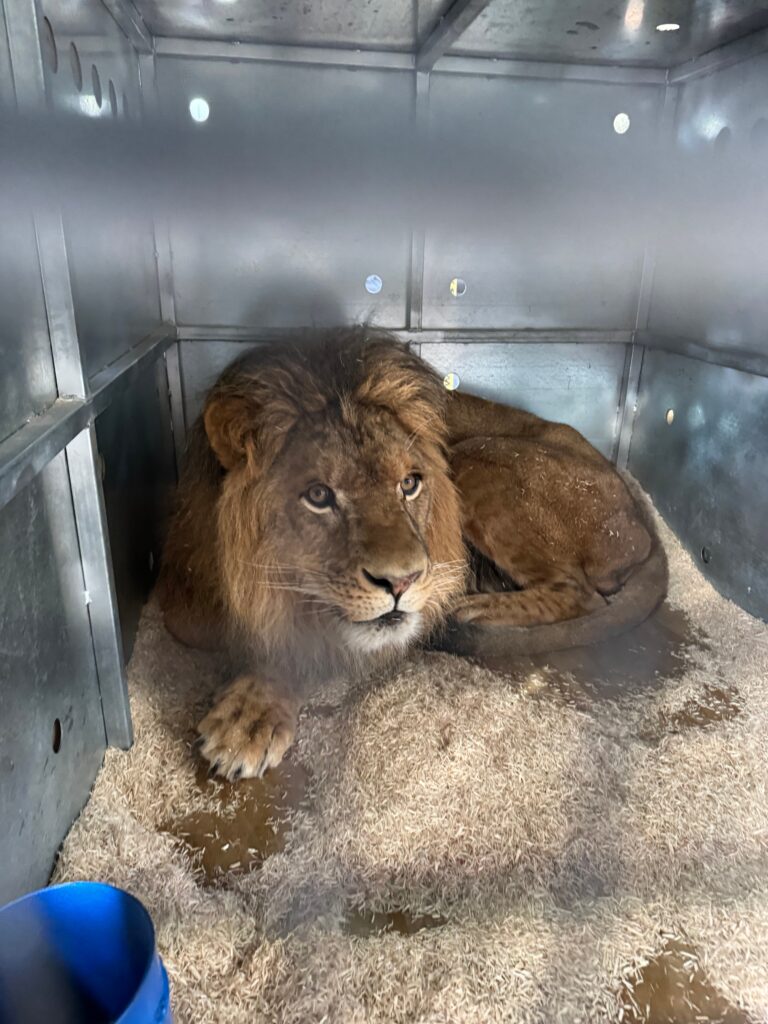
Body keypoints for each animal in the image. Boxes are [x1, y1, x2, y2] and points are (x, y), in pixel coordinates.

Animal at [158, 327, 666, 780]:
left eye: (409, 484)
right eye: (319, 495)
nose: (401, 582)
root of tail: (639, 515)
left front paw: (250, 717)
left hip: (478, 458)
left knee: (580, 593)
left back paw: (475, 608)